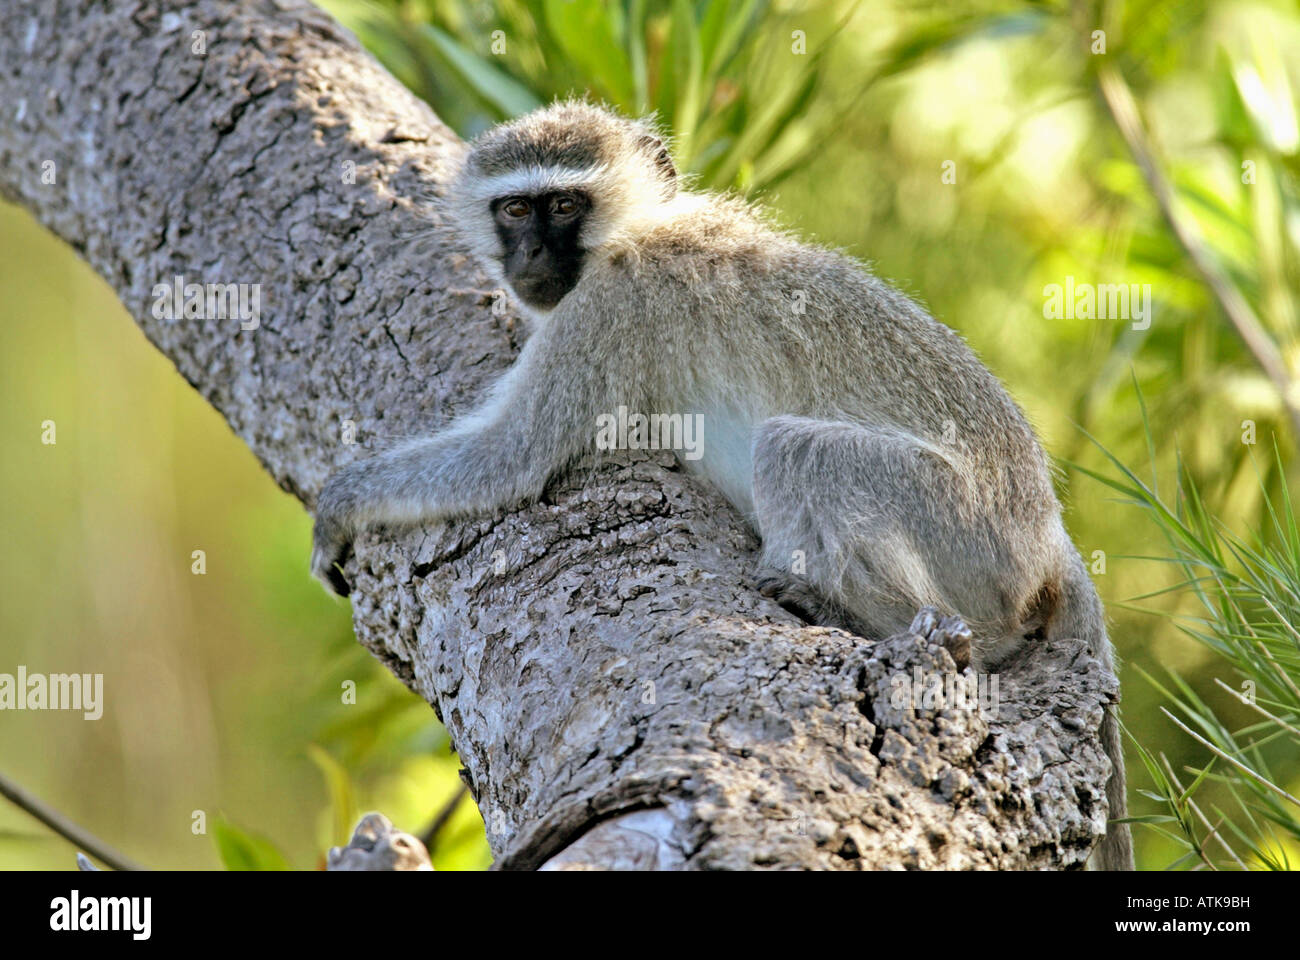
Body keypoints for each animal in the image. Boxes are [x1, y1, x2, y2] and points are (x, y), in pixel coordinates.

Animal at [310, 100, 1132, 871]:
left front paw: (341, 505)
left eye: (565, 205)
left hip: (966, 540)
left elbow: (510, 456)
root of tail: (1046, 538)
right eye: (515, 209)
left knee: (801, 453)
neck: (637, 230)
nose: (533, 252)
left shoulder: (608, 307)